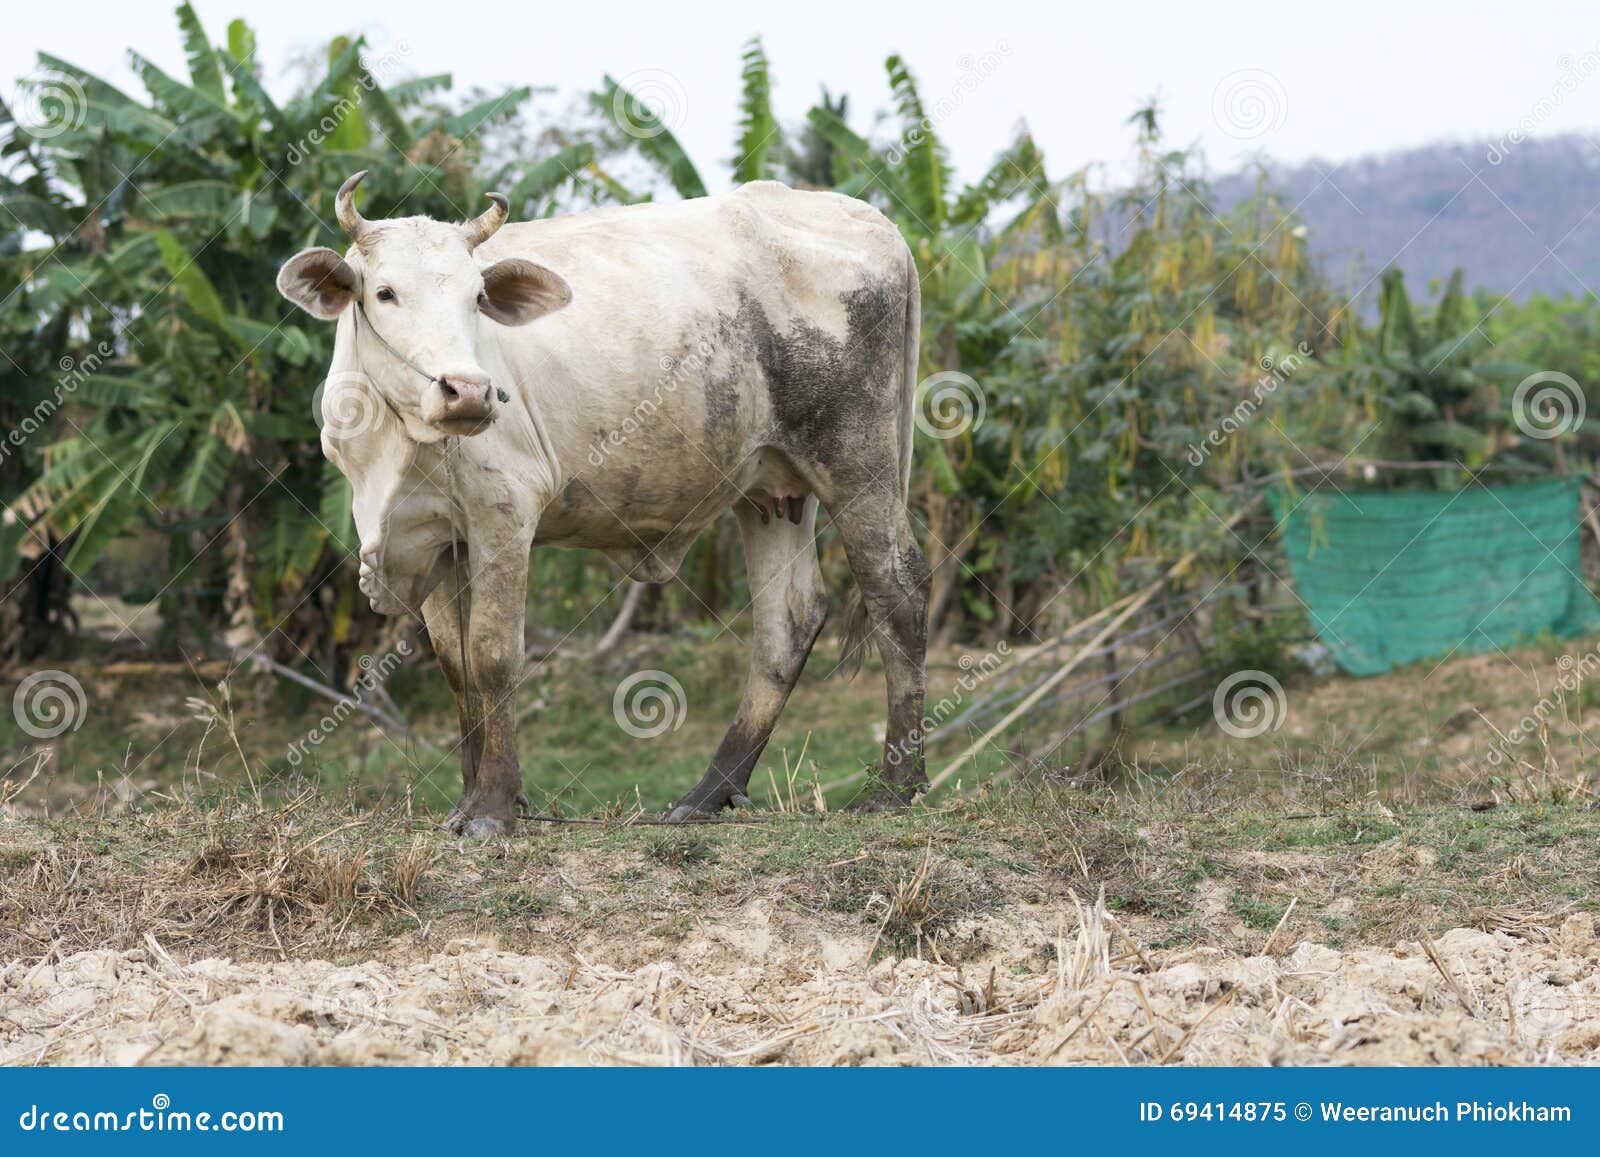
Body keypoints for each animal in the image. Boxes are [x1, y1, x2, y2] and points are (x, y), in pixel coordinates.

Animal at [276, 172, 929, 837]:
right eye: (385, 292)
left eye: (477, 296)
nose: (470, 393)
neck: (392, 450)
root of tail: (873, 221)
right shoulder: (435, 536)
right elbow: (456, 668)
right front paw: (466, 800)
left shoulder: (504, 513)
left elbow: (492, 656)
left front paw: (492, 807)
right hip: (772, 490)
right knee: (788, 622)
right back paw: (709, 793)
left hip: (858, 463)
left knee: (896, 592)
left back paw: (895, 786)